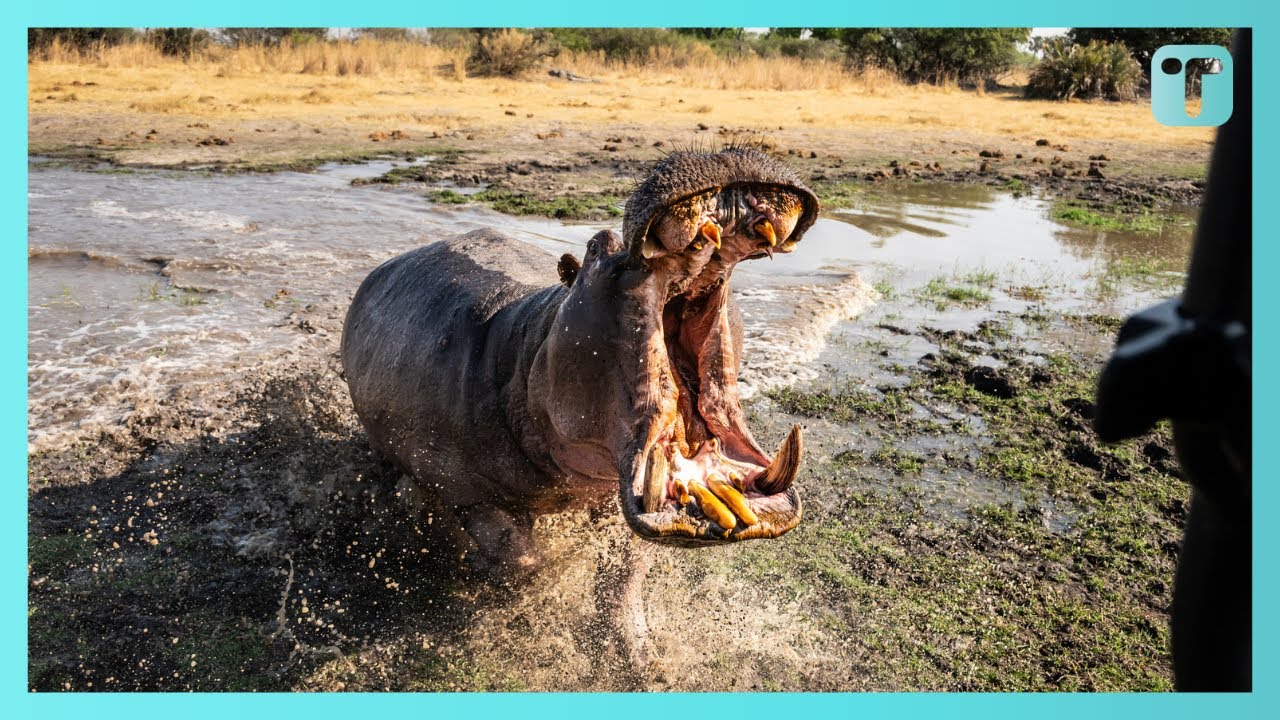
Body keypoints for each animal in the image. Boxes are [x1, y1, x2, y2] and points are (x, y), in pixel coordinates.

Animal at [340, 146, 819, 579]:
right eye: (596, 245)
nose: (716, 154)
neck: (531, 349)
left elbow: (624, 580)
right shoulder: (468, 497)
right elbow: (525, 564)